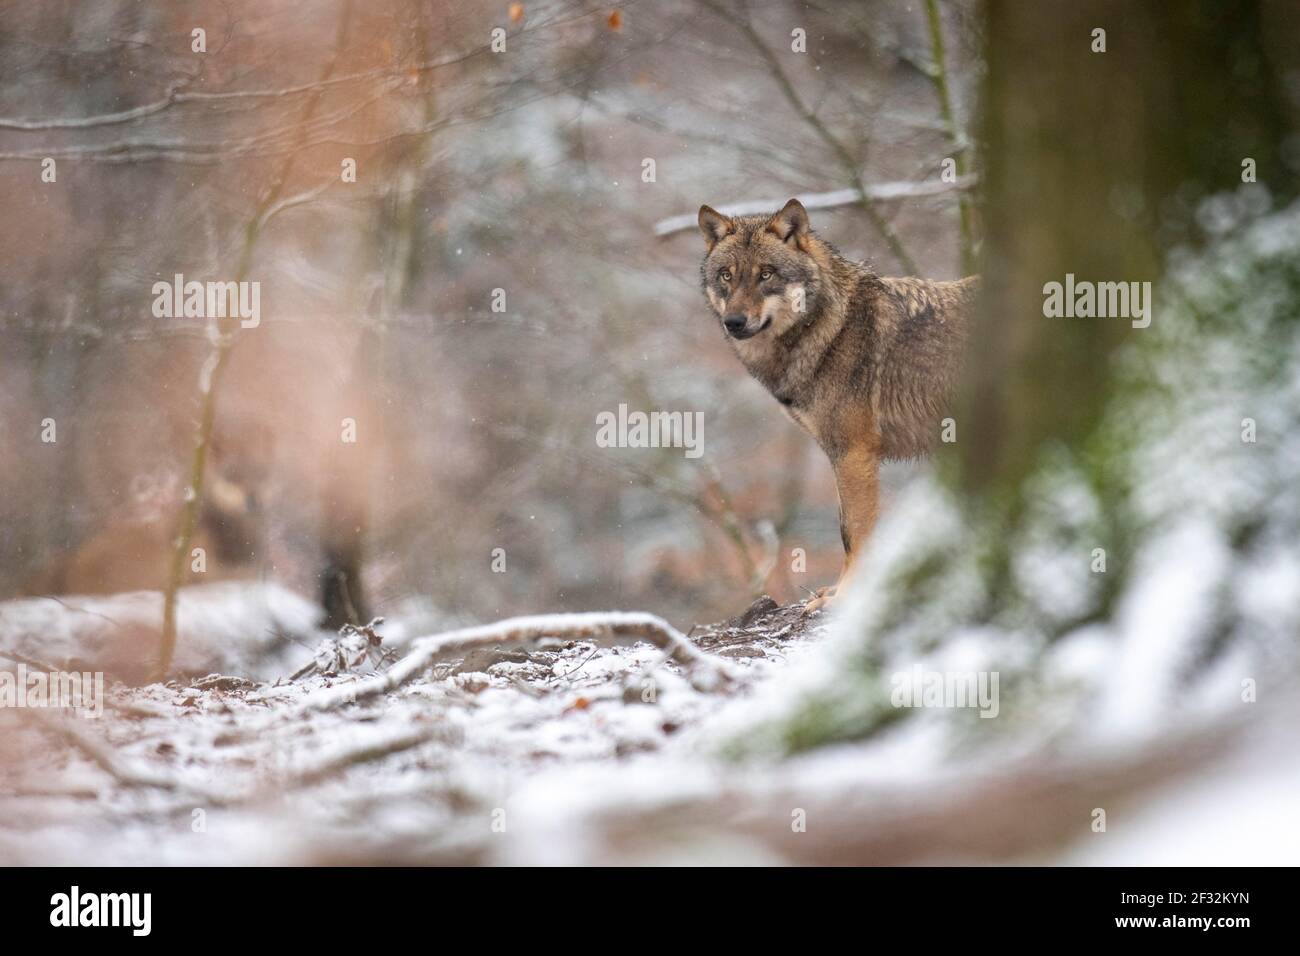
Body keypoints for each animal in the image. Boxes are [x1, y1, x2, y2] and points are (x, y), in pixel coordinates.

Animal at [698, 198, 979, 613]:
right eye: (727, 276)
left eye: (766, 274)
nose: (733, 321)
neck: (829, 327)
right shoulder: (837, 454)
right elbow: (845, 526)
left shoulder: (853, 453)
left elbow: (853, 532)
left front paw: (847, 597)